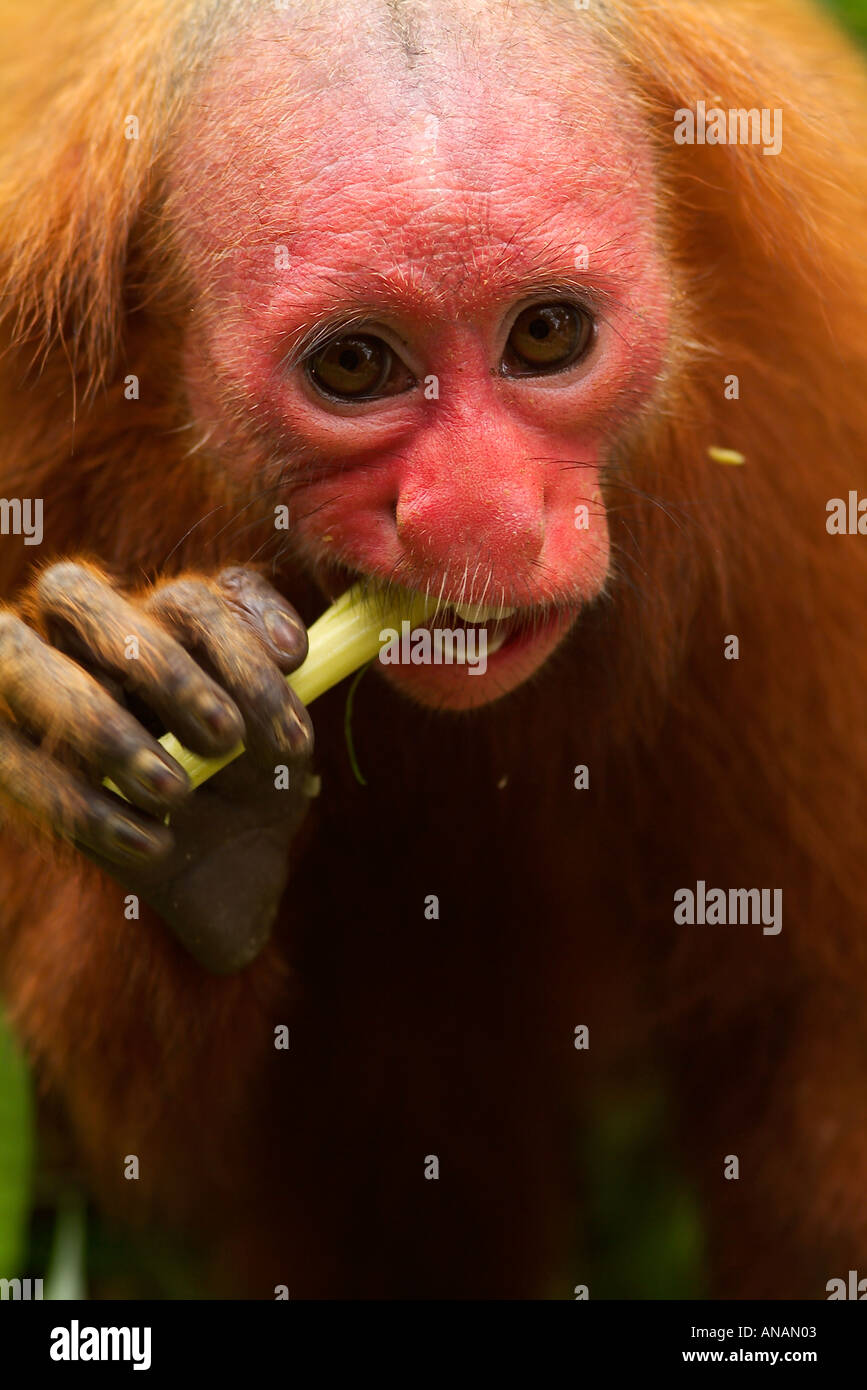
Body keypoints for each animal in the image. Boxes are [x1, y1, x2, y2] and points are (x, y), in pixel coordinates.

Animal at [0, 0, 865, 1299]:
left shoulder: (817, 470)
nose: (482, 517)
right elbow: (144, 1143)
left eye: (547, 334)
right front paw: (201, 830)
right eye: (356, 364)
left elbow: (818, 1050)